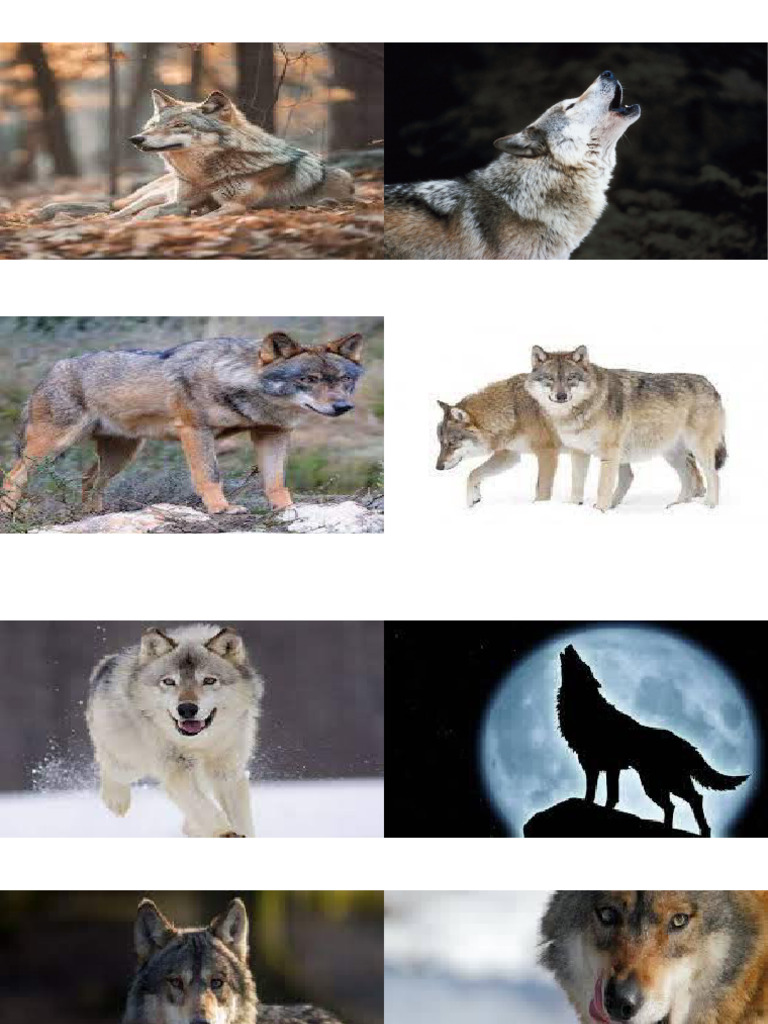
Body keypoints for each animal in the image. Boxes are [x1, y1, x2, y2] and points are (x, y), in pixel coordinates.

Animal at [0, 331, 364, 516]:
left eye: (344, 380)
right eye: (309, 379)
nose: (343, 406)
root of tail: (52, 369)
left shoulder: (272, 434)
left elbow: (276, 481)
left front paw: (286, 509)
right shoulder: (195, 431)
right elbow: (210, 476)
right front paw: (221, 509)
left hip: (122, 454)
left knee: (90, 480)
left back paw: (93, 516)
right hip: (52, 447)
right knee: (14, 475)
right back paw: (9, 514)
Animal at [38, 89, 353, 222]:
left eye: (180, 126)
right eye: (154, 125)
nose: (136, 139)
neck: (206, 176)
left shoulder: (235, 206)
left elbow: (201, 217)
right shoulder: (182, 199)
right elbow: (147, 213)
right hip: (153, 193)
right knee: (115, 207)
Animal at [86, 625, 263, 837]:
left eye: (209, 680)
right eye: (169, 682)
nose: (186, 709)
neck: (199, 743)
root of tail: (106, 663)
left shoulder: (228, 772)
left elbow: (239, 818)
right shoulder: (178, 771)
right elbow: (204, 808)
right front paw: (225, 833)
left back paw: (191, 828)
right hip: (129, 762)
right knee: (108, 766)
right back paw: (116, 801)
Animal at [525, 346, 722, 510]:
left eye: (571, 377)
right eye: (549, 378)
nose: (561, 396)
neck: (582, 409)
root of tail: (711, 385)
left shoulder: (609, 452)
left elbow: (603, 487)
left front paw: (600, 510)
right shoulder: (579, 451)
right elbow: (577, 484)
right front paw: (575, 507)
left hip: (697, 449)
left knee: (713, 475)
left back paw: (709, 506)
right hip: (672, 454)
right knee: (688, 477)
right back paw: (676, 506)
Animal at [558, 645, 748, 837]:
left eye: (582, 663)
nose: (570, 646)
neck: (588, 708)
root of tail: (684, 743)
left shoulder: (603, 766)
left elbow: (600, 795)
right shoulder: (599, 766)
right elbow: (601, 795)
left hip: (664, 782)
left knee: (694, 799)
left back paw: (702, 831)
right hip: (657, 784)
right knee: (672, 806)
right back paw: (668, 829)